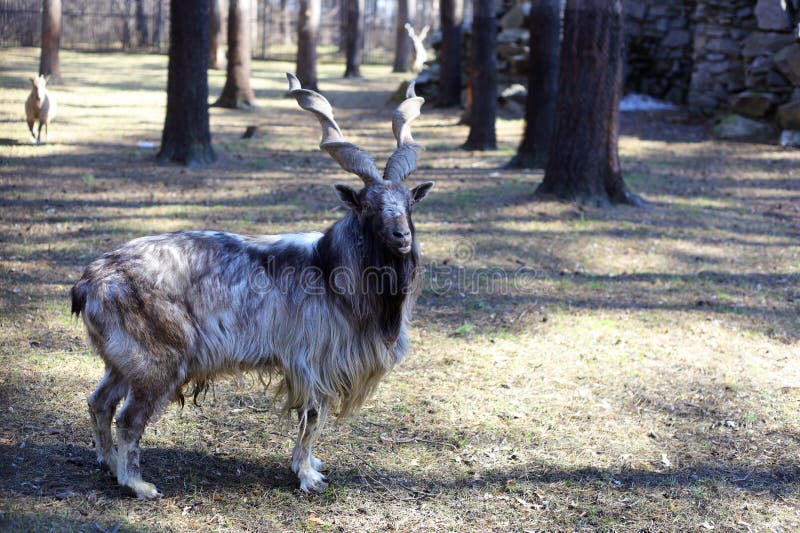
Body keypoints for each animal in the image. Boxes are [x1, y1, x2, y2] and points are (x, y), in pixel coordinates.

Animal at [70, 73, 434, 499]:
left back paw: (109, 463)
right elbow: (312, 417)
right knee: (129, 419)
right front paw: (307, 476)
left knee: (100, 402)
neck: (332, 271)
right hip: (156, 363)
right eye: (366, 204)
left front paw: (312, 465)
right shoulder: (310, 362)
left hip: (121, 361)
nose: (401, 237)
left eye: (409, 203)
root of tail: (90, 281)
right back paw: (137, 483)